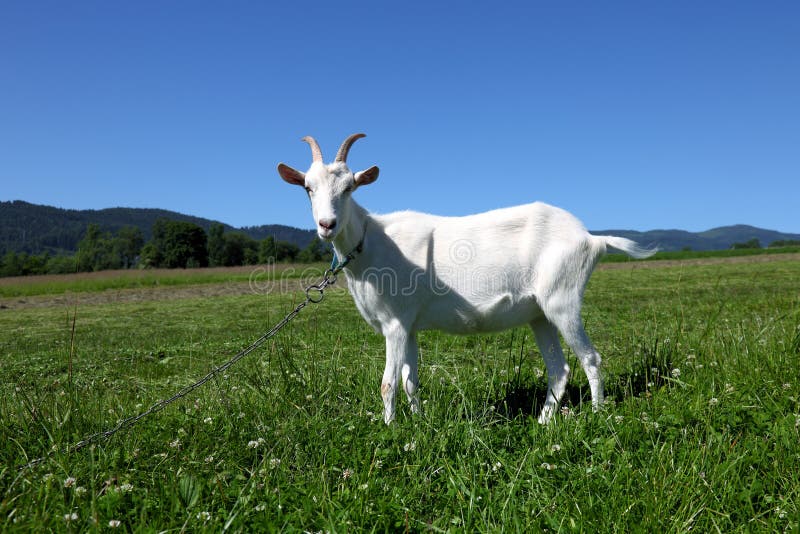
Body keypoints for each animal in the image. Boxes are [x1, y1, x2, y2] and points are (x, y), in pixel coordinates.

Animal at [278, 133, 656, 424]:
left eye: (350, 187)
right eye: (308, 188)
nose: (327, 225)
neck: (372, 242)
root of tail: (591, 238)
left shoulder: (395, 324)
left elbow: (388, 383)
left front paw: (390, 431)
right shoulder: (410, 325)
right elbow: (410, 381)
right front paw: (418, 424)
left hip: (563, 300)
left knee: (591, 358)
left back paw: (598, 415)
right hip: (539, 314)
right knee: (559, 368)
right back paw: (544, 421)